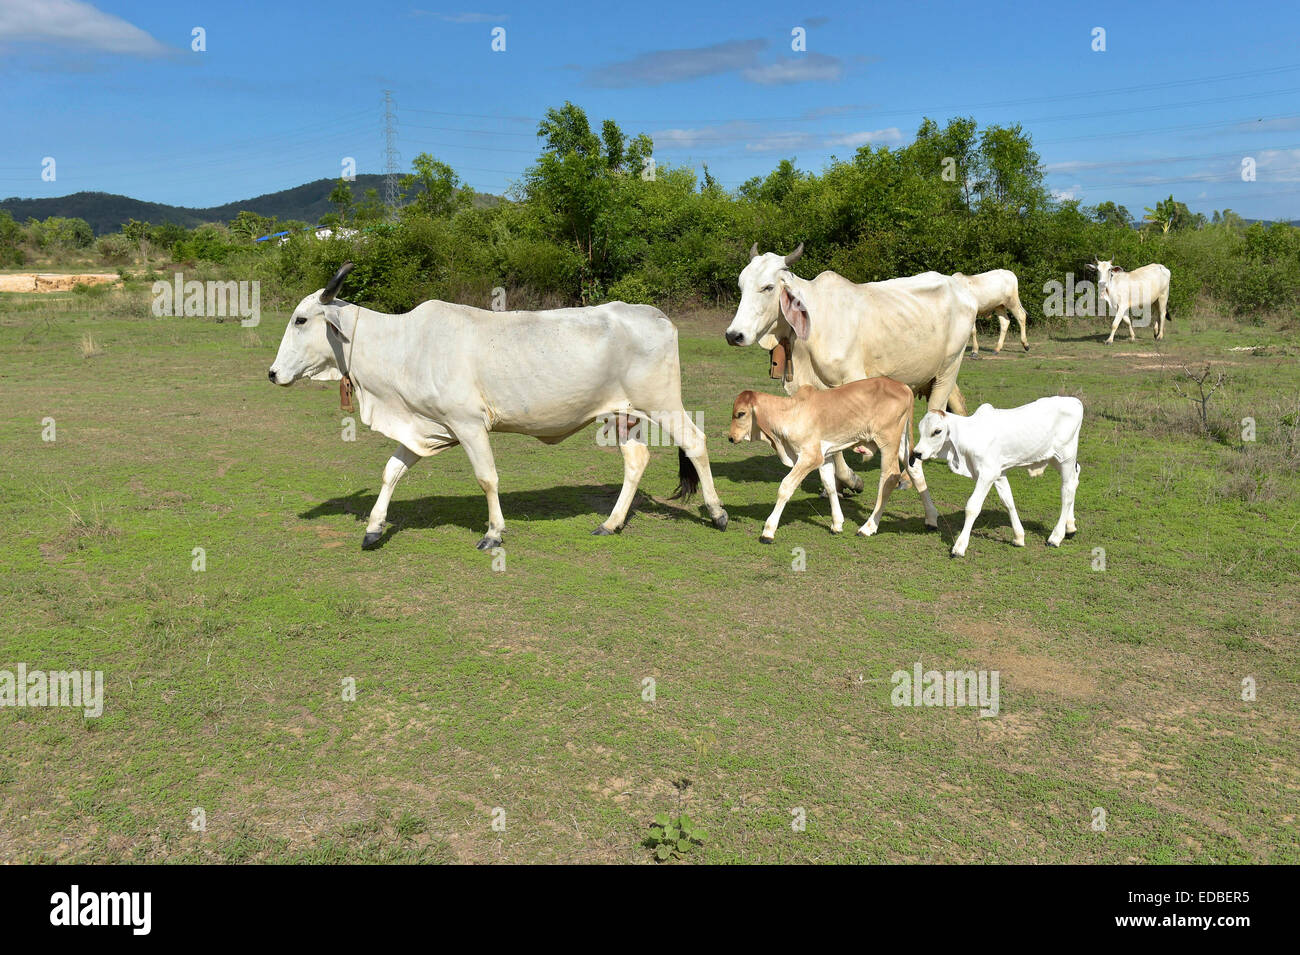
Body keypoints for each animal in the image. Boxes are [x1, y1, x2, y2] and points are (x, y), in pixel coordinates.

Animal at [268, 263, 728, 549]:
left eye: (301, 320)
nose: (272, 374)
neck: (402, 345)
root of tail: (656, 315)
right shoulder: (426, 427)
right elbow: (391, 471)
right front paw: (374, 527)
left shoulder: (469, 425)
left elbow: (487, 478)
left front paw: (493, 532)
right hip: (623, 414)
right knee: (636, 461)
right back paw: (610, 523)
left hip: (663, 403)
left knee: (696, 443)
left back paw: (717, 512)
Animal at [729, 377, 923, 542]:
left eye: (741, 413)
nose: (731, 437)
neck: (791, 413)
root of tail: (903, 386)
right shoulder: (826, 455)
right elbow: (829, 485)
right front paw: (837, 524)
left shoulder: (810, 457)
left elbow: (785, 487)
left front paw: (768, 531)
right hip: (902, 443)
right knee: (915, 470)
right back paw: (929, 521)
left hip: (888, 442)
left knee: (889, 477)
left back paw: (868, 527)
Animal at [909, 397, 1083, 558]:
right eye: (920, 428)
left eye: (937, 431)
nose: (917, 453)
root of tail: (1074, 401)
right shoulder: (998, 474)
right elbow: (1008, 502)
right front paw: (1019, 537)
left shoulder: (987, 474)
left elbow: (972, 507)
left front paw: (959, 546)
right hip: (1054, 458)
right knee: (1075, 479)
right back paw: (1070, 527)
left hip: (1065, 457)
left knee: (1067, 491)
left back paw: (1056, 537)